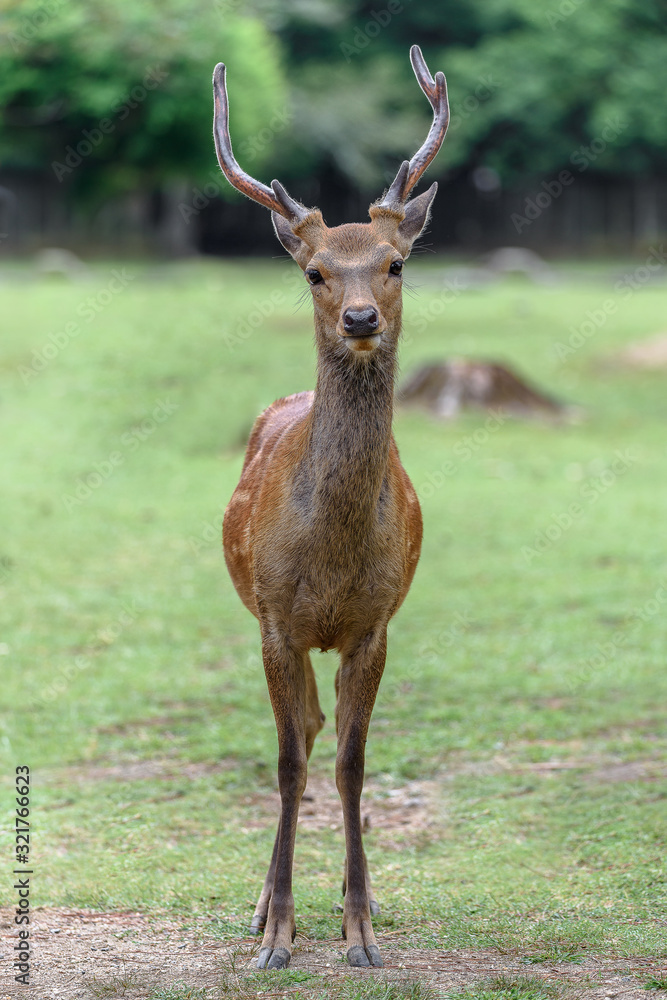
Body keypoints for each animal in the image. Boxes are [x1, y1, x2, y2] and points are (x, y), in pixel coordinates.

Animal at [213, 45, 449, 971]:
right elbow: (286, 762)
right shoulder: (277, 618)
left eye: (395, 262)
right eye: (315, 270)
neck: (330, 555)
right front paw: (277, 934)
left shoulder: (373, 622)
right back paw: (257, 908)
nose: (357, 317)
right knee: (302, 732)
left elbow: (351, 761)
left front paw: (359, 929)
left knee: (323, 731)